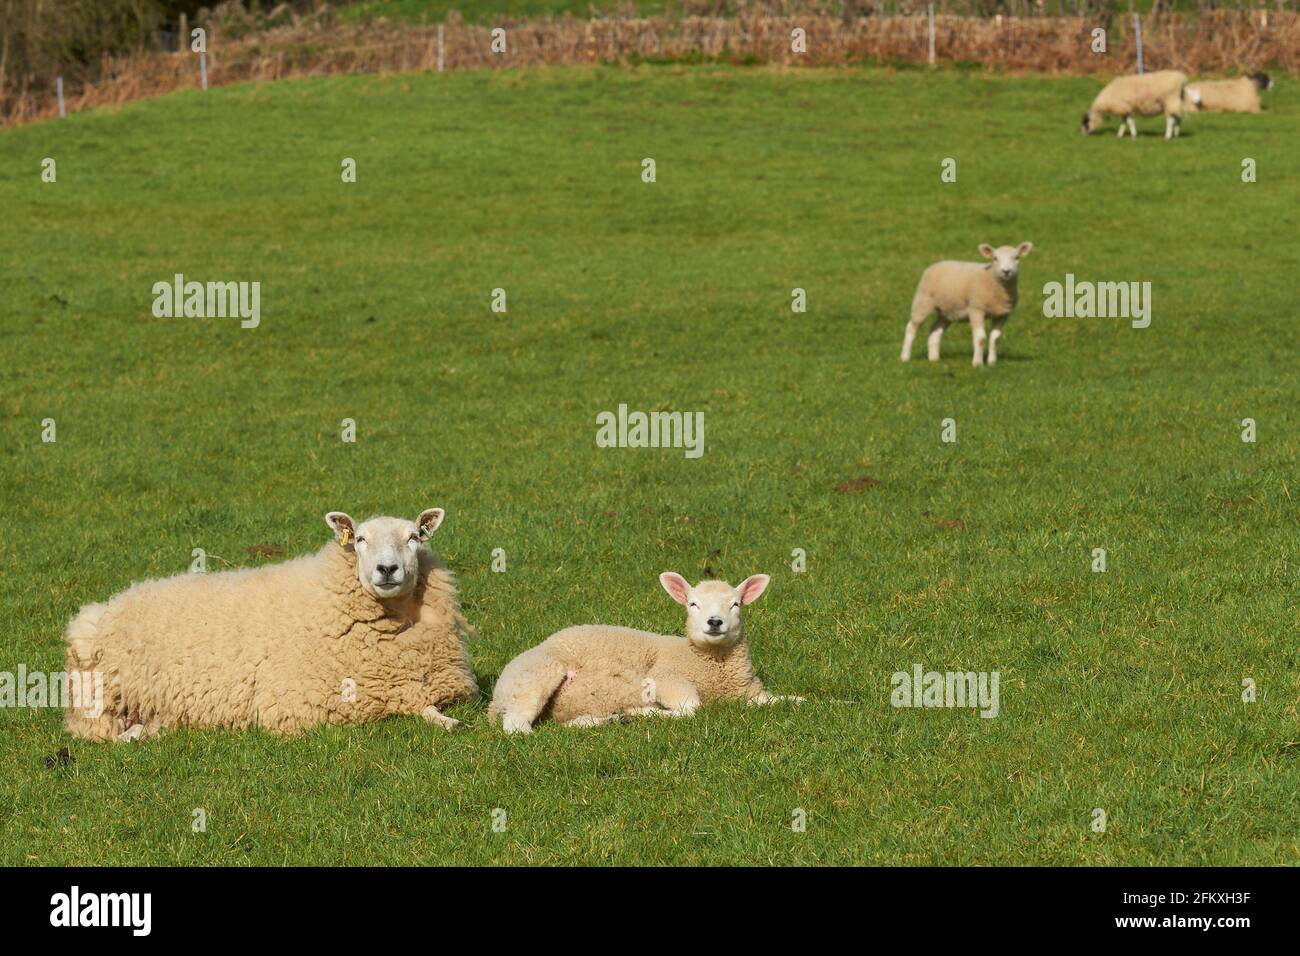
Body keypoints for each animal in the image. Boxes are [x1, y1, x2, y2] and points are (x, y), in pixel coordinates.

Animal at [63, 508, 478, 741]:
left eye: (414, 537)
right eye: (359, 538)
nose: (387, 569)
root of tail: (99, 610)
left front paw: (450, 721)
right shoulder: (306, 707)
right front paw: (445, 722)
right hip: (99, 702)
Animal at [488, 572, 802, 734]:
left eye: (736, 604)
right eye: (693, 604)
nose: (715, 622)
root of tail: (496, 696)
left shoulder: (750, 692)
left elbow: (791, 701)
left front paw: (800, 701)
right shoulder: (666, 677)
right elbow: (690, 709)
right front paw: (647, 712)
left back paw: (609, 719)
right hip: (536, 676)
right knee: (515, 724)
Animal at [900, 242, 1033, 367]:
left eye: (1016, 257)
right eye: (995, 258)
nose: (1006, 271)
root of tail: (936, 264)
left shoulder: (1002, 314)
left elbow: (995, 338)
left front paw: (992, 362)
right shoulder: (976, 308)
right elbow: (980, 338)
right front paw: (977, 363)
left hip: (947, 311)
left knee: (935, 330)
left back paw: (934, 358)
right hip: (923, 302)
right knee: (911, 328)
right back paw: (905, 357)